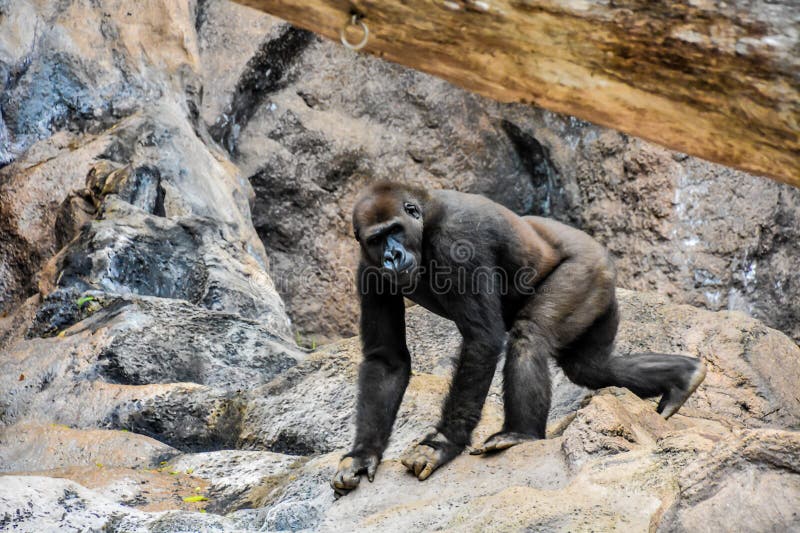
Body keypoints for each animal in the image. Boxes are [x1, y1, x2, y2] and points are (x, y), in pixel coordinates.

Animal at [331, 181, 706, 496]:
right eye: (377, 239)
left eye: (395, 230)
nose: (392, 255)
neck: (423, 224)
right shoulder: (367, 269)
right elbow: (387, 359)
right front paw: (363, 455)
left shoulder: (457, 240)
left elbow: (482, 339)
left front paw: (443, 444)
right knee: (591, 367)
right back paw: (683, 377)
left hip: (589, 270)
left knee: (532, 336)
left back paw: (520, 433)